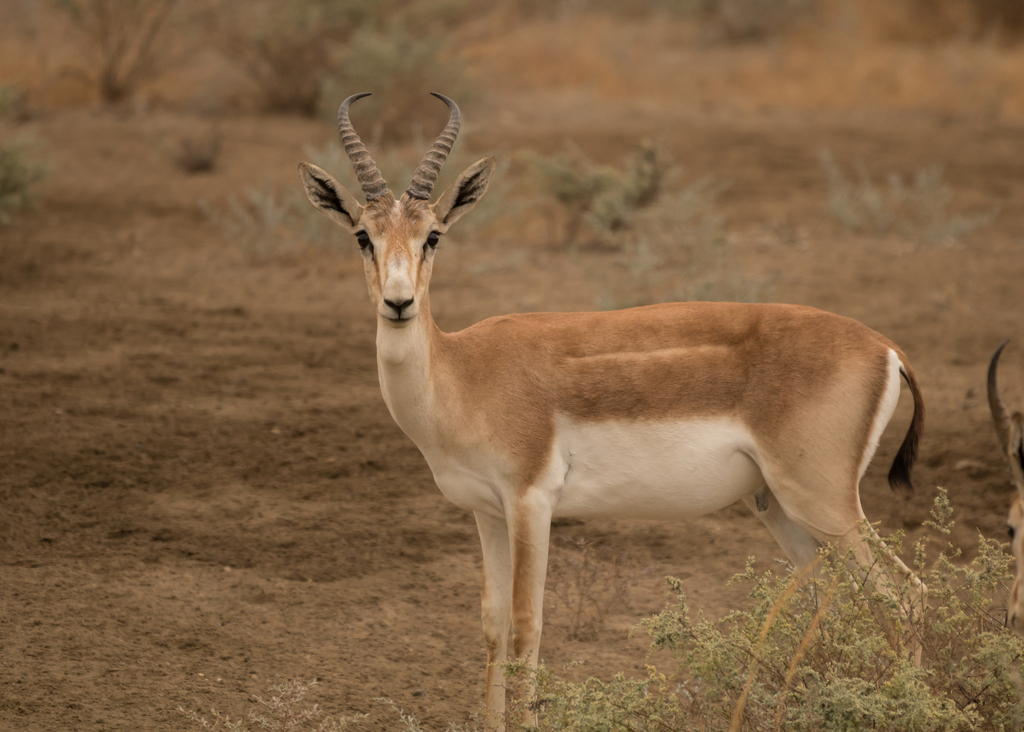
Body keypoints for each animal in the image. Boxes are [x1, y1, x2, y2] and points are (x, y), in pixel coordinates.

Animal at [298, 93, 927, 719]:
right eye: (362, 235)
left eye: (433, 235)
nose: (398, 303)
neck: (464, 373)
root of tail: (886, 348)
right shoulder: (486, 512)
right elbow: (493, 626)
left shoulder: (531, 503)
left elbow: (527, 626)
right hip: (780, 507)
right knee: (838, 601)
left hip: (823, 503)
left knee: (904, 596)